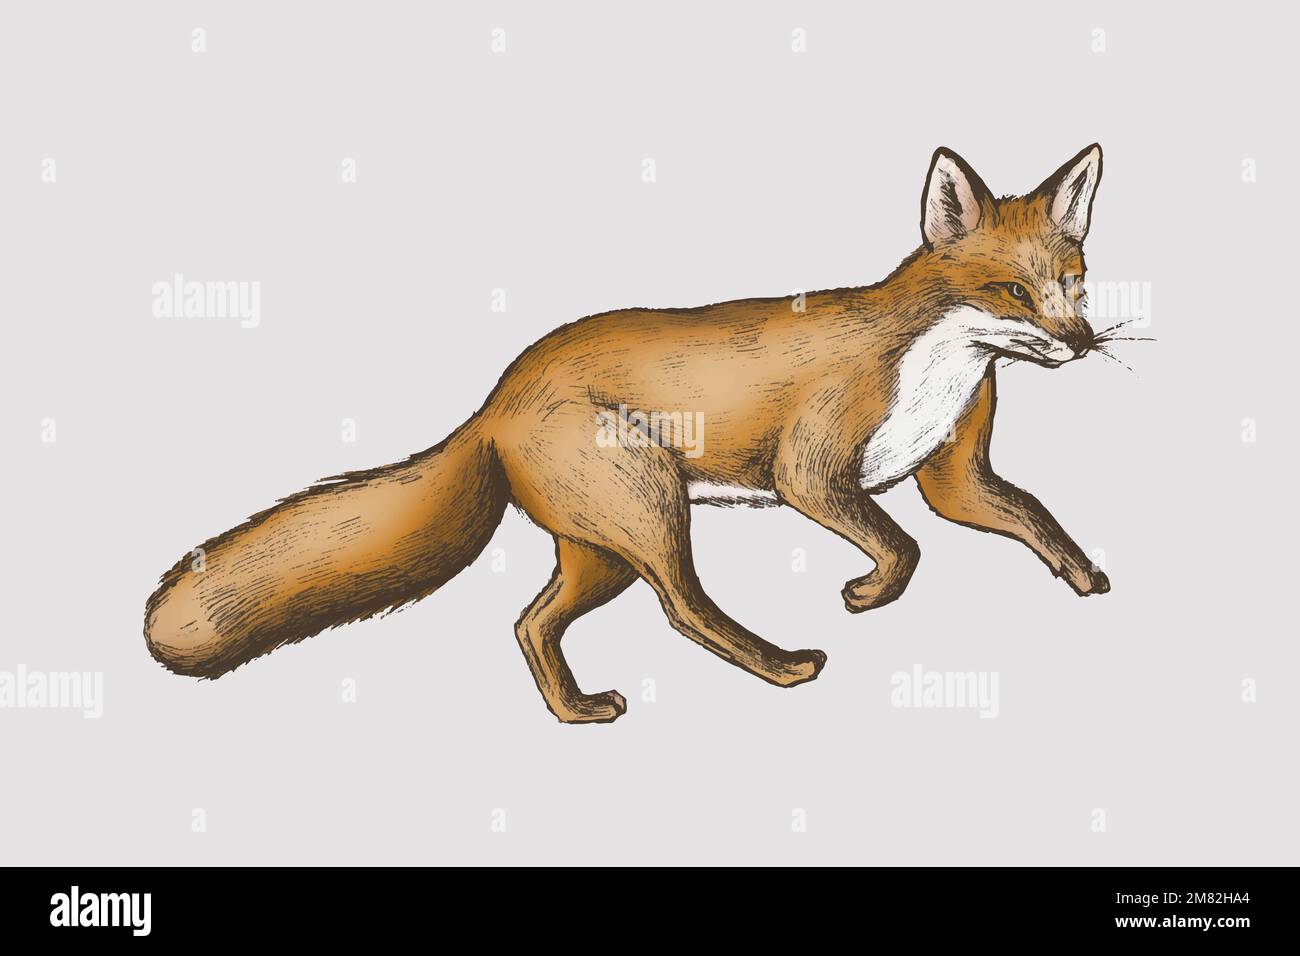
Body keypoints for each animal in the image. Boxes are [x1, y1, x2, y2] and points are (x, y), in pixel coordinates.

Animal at [146, 144, 1115, 724]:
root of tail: (493, 402)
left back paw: (575, 713)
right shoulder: (809, 473)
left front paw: (1084, 575)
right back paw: (781, 668)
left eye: (1075, 283)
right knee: (681, 610)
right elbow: (906, 549)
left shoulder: (953, 476)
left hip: (600, 549)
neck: (935, 363)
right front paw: (868, 594)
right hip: (650, 513)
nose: (1081, 343)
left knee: (530, 624)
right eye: (1014, 292)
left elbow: (1030, 515)